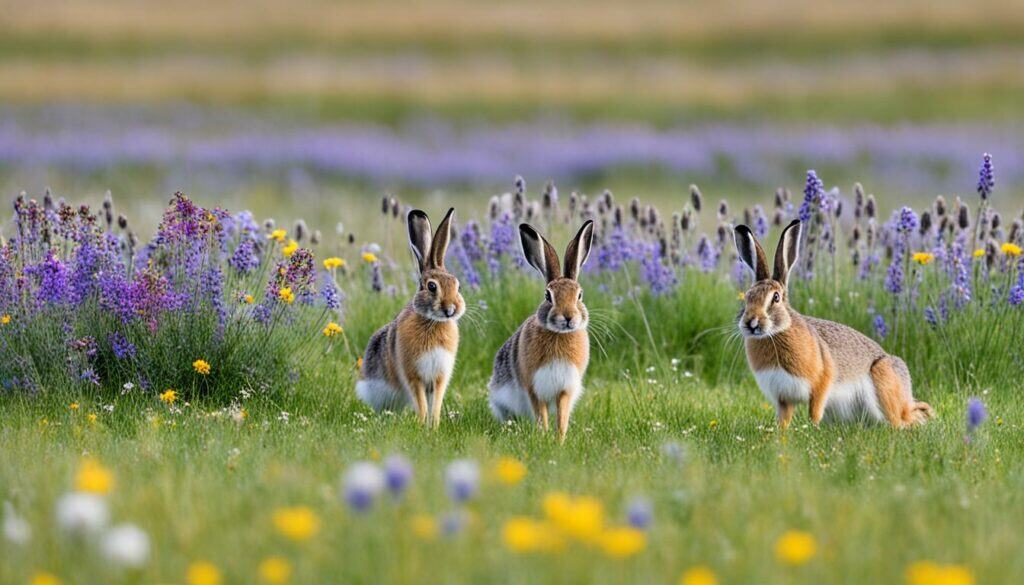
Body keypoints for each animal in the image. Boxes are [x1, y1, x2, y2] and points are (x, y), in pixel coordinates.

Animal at [356, 207, 465, 427]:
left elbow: (435, 403)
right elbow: (421, 402)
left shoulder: (439, 377)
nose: (451, 309)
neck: (433, 322)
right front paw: (423, 425)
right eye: (431, 286)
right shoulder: (413, 375)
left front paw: (434, 426)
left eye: (458, 286)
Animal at [488, 220, 595, 442]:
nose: (568, 317)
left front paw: (559, 440)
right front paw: (543, 437)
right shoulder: (534, 387)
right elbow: (541, 414)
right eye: (548, 296)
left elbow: (562, 416)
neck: (559, 334)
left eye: (579, 295)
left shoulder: (565, 388)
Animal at [733, 219, 934, 429]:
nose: (750, 323)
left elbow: (815, 410)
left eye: (776, 298)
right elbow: (784, 417)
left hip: (883, 382)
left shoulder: (822, 380)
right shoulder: (783, 397)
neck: (776, 332)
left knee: (903, 419)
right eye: (747, 297)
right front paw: (782, 432)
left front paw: (812, 428)